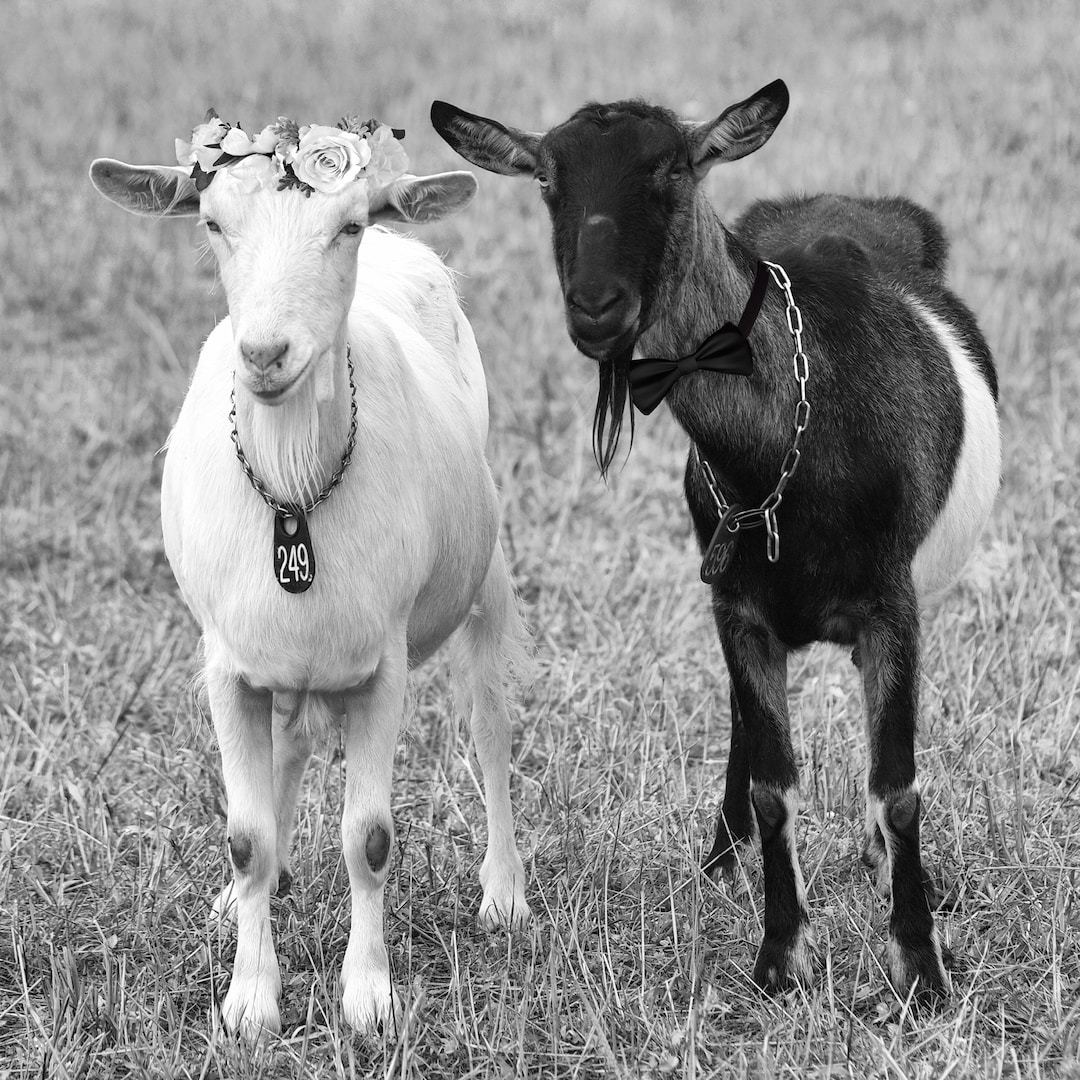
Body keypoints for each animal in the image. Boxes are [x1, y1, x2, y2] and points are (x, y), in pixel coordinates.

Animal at [90, 114, 531, 1038]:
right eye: (211, 223)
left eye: (346, 226)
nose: (264, 352)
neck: (294, 491)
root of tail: (408, 240)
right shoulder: (227, 662)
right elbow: (245, 835)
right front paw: (250, 999)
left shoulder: (384, 663)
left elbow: (370, 837)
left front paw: (368, 999)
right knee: (286, 749)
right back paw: (250, 895)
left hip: (485, 575)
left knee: (490, 723)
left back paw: (505, 893)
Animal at [431, 81, 1001, 1002]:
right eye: (548, 178)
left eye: (671, 168)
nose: (597, 308)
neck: (792, 448)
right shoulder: (738, 607)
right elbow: (773, 783)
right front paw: (779, 957)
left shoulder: (893, 610)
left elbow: (896, 786)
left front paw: (919, 967)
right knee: (744, 720)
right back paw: (725, 855)